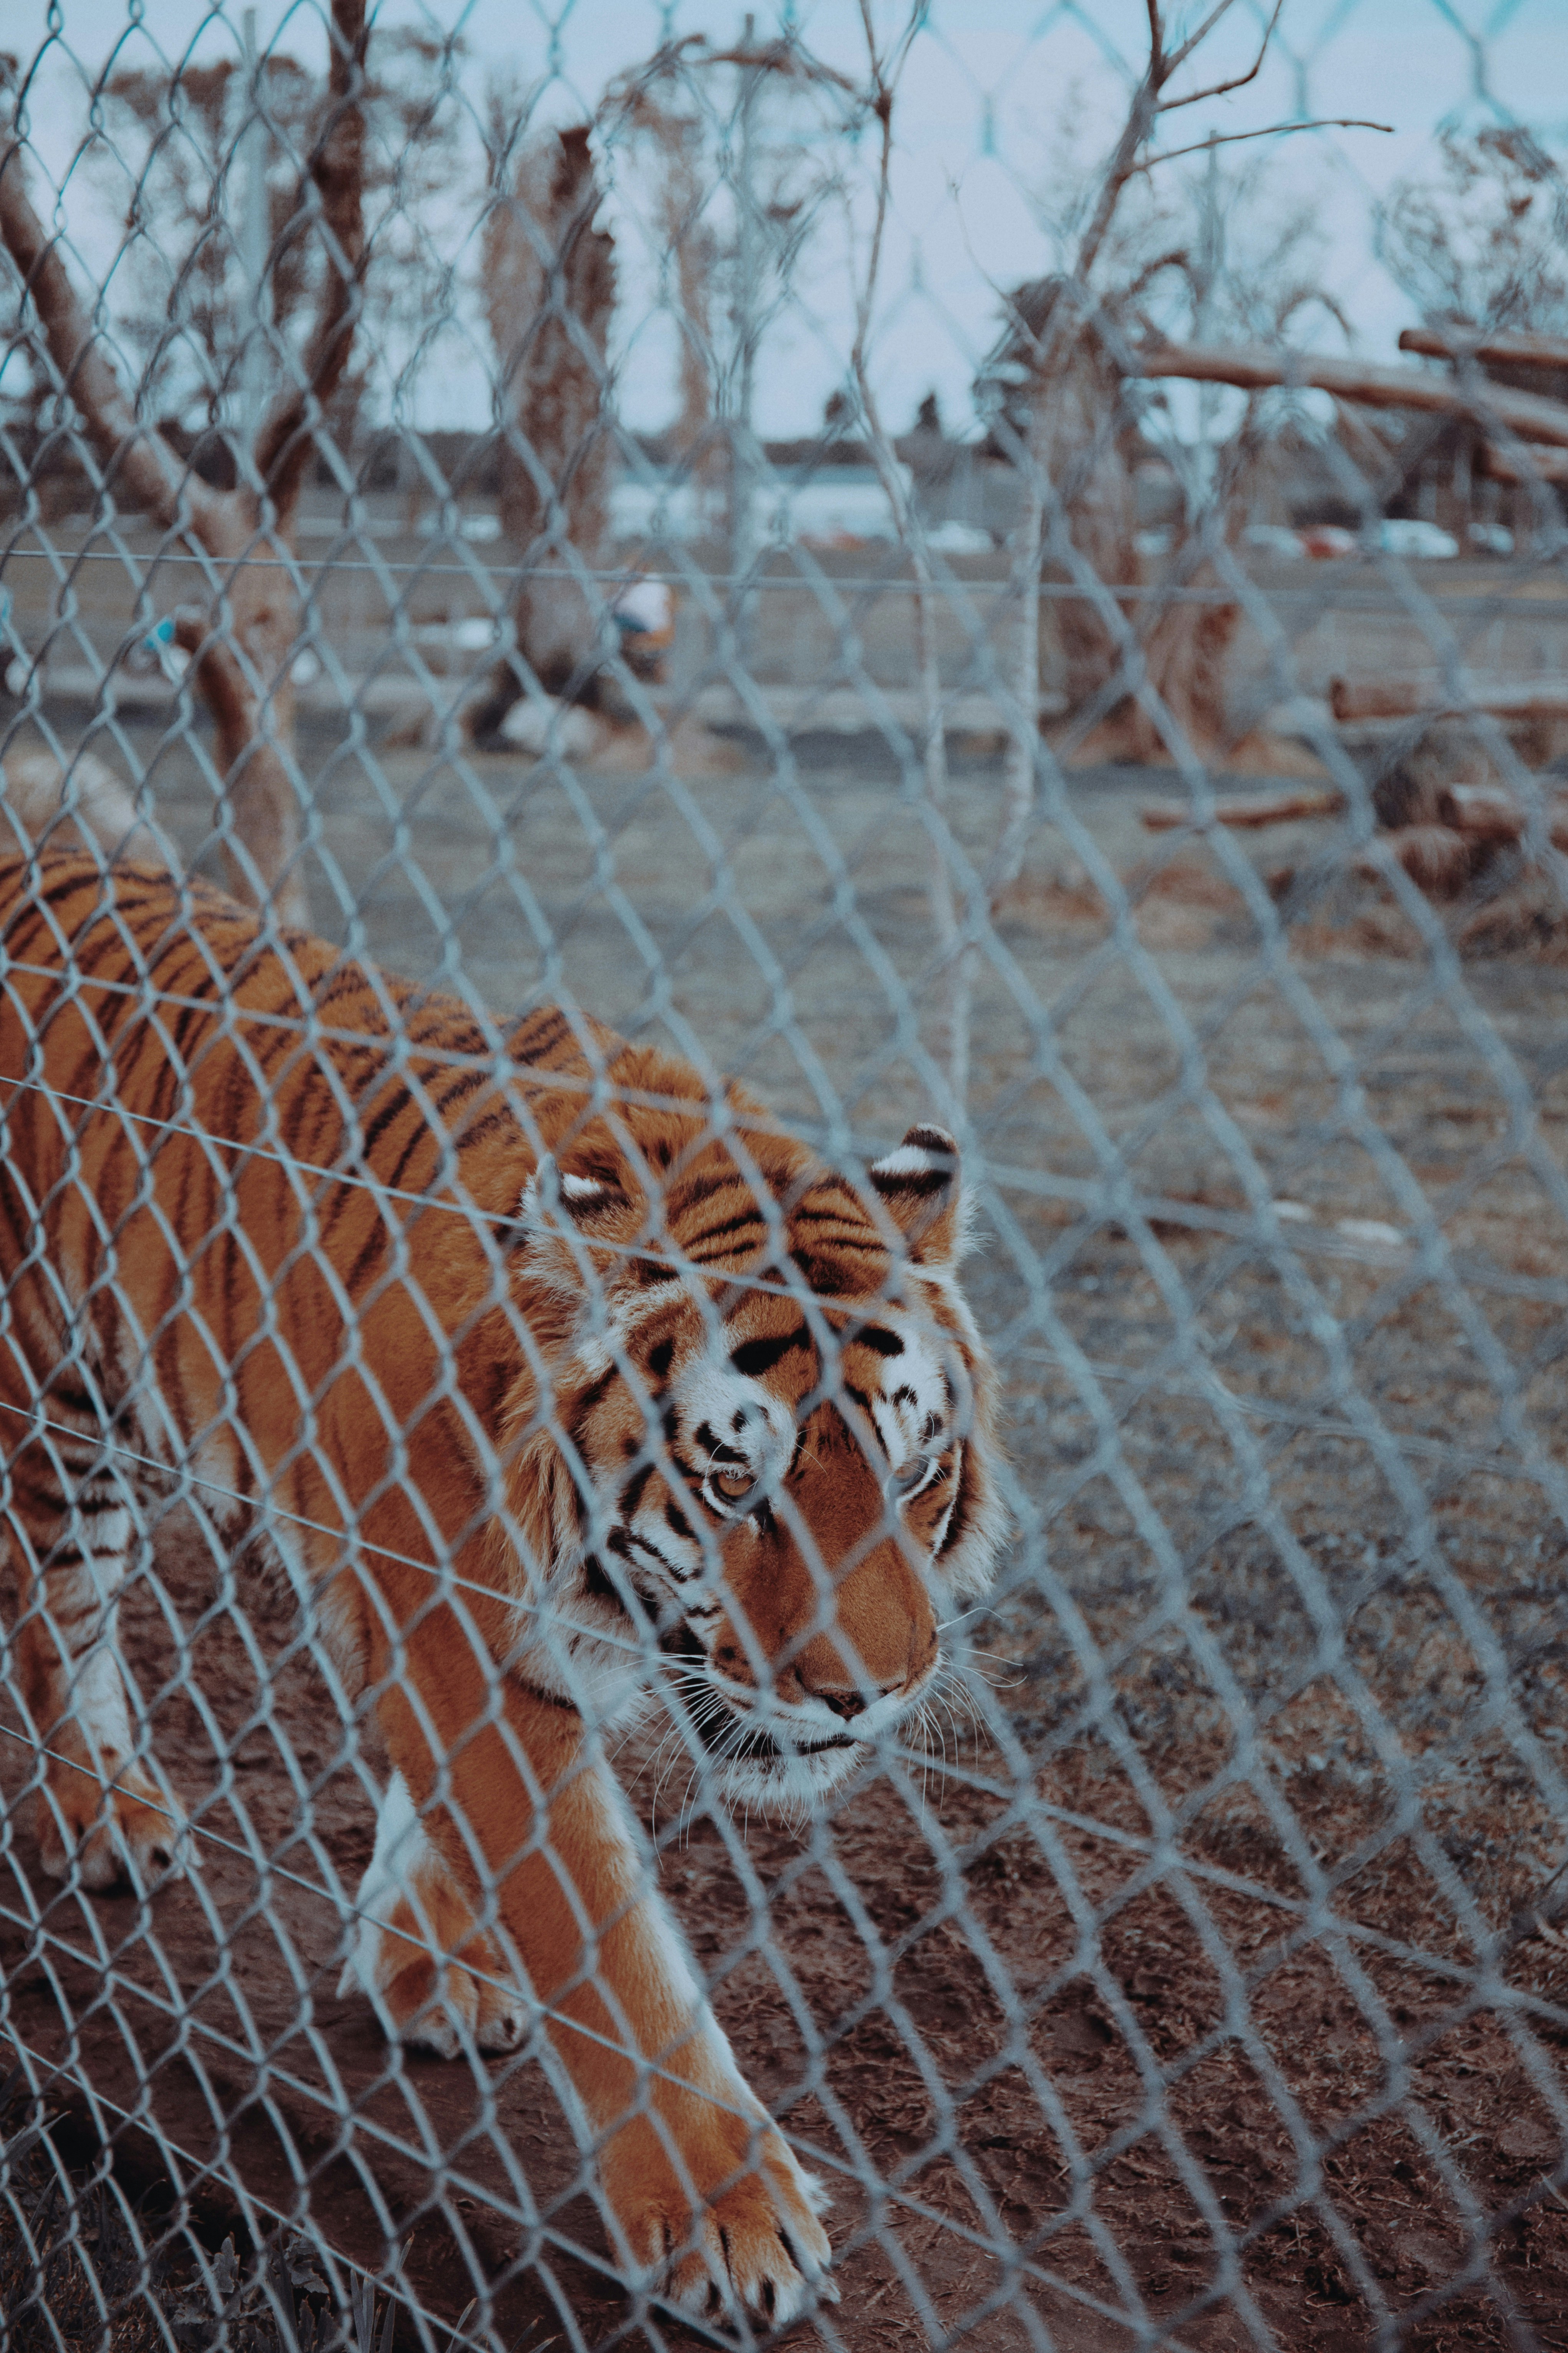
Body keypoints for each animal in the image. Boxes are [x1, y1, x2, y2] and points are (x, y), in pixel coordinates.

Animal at [0, 758, 1003, 2328]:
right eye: (737, 1483)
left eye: (911, 1471)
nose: (872, 1696)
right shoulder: (452, 1623)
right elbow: (596, 1928)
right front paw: (729, 2216)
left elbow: (457, 1827)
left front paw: (430, 1968)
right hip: (56, 1403)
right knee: (56, 1622)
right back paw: (97, 1816)